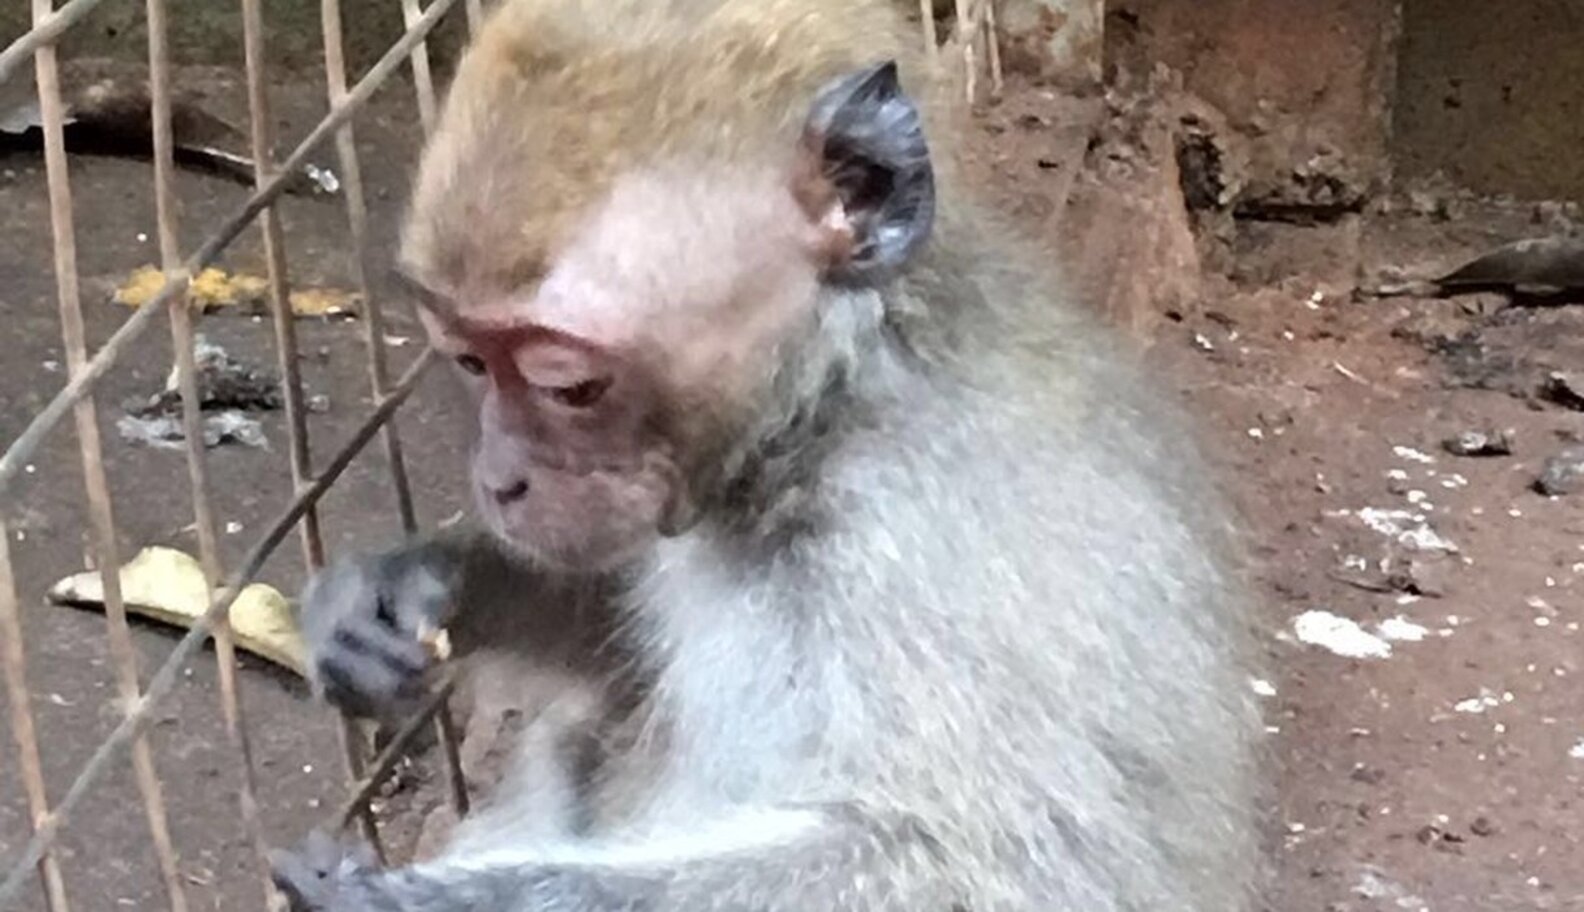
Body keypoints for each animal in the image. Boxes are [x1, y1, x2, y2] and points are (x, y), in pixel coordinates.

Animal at [270, 0, 1266, 909]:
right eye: (473, 362)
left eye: (568, 385)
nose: (499, 479)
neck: (832, 408)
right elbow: (617, 651)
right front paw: (402, 591)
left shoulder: (925, 537)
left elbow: (1016, 866)